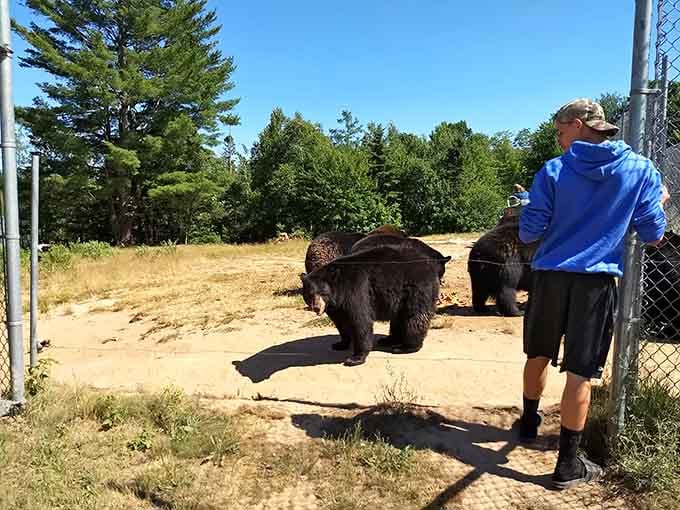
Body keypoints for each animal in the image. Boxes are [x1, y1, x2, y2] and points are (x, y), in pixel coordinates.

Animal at [301, 245, 451, 366]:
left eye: (322, 292)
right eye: (309, 294)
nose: (316, 308)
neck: (338, 288)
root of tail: (430, 265)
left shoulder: (355, 289)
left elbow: (360, 320)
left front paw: (355, 358)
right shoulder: (335, 305)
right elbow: (340, 322)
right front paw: (340, 343)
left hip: (416, 288)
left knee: (414, 317)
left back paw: (405, 347)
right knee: (398, 318)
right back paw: (389, 340)